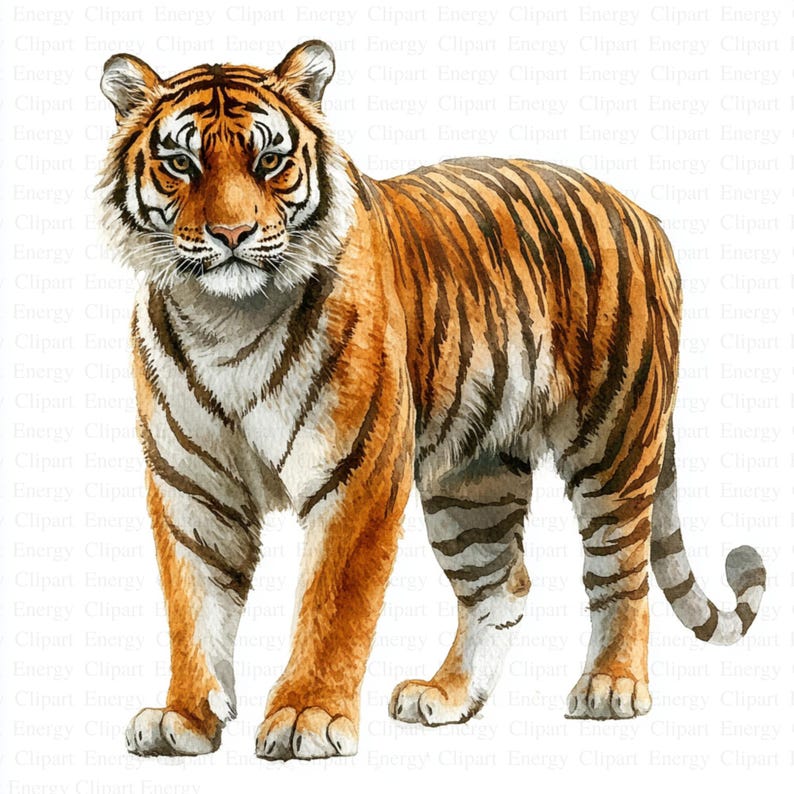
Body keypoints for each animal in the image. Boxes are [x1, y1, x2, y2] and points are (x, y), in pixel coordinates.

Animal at [98, 40, 767, 761]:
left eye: (269, 162)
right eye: (180, 163)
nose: (231, 235)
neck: (225, 318)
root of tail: (645, 214)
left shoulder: (358, 472)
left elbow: (334, 604)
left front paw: (308, 715)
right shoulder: (190, 484)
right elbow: (192, 605)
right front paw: (185, 718)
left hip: (613, 438)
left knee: (622, 571)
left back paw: (611, 686)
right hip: (472, 478)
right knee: (503, 583)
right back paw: (447, 695)